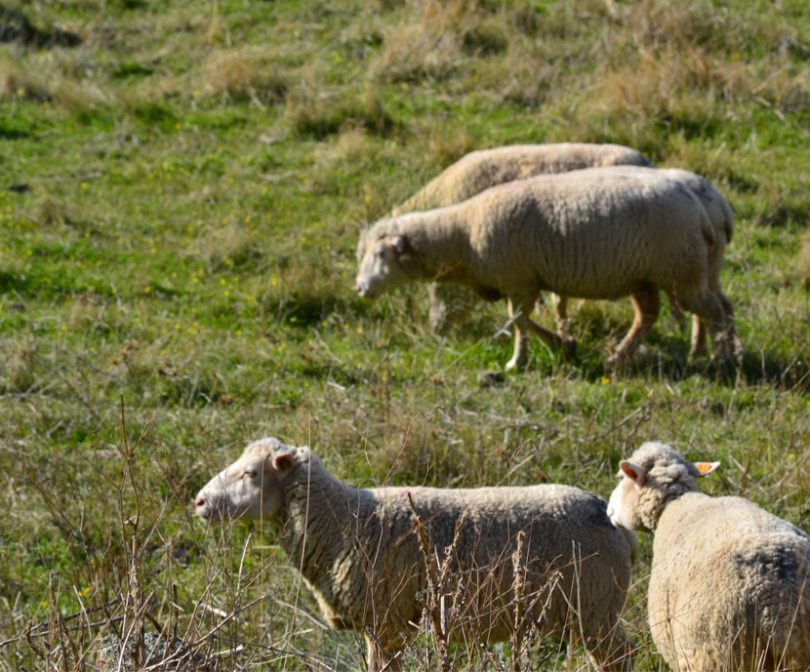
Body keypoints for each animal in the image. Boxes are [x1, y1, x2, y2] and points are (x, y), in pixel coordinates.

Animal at [195, 437, 636, 671]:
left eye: (251, 474)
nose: (199, 502)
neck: (344, 520)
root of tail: (612, 519)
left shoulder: (386, 622)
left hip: (595, 608)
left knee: (622, 657)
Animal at [355, 166, 736, 371]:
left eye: (381, 255)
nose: (359, 289)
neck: (463, 232)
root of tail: (705, 206)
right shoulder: (522, 281)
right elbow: (520, 319)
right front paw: (564, 345)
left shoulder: (518, 278)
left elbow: (519, 321)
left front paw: (520, 360)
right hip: (661, 273)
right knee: (661, 314)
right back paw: (623, 357)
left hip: (682, 268)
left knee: (714, 311)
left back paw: (720, 360)